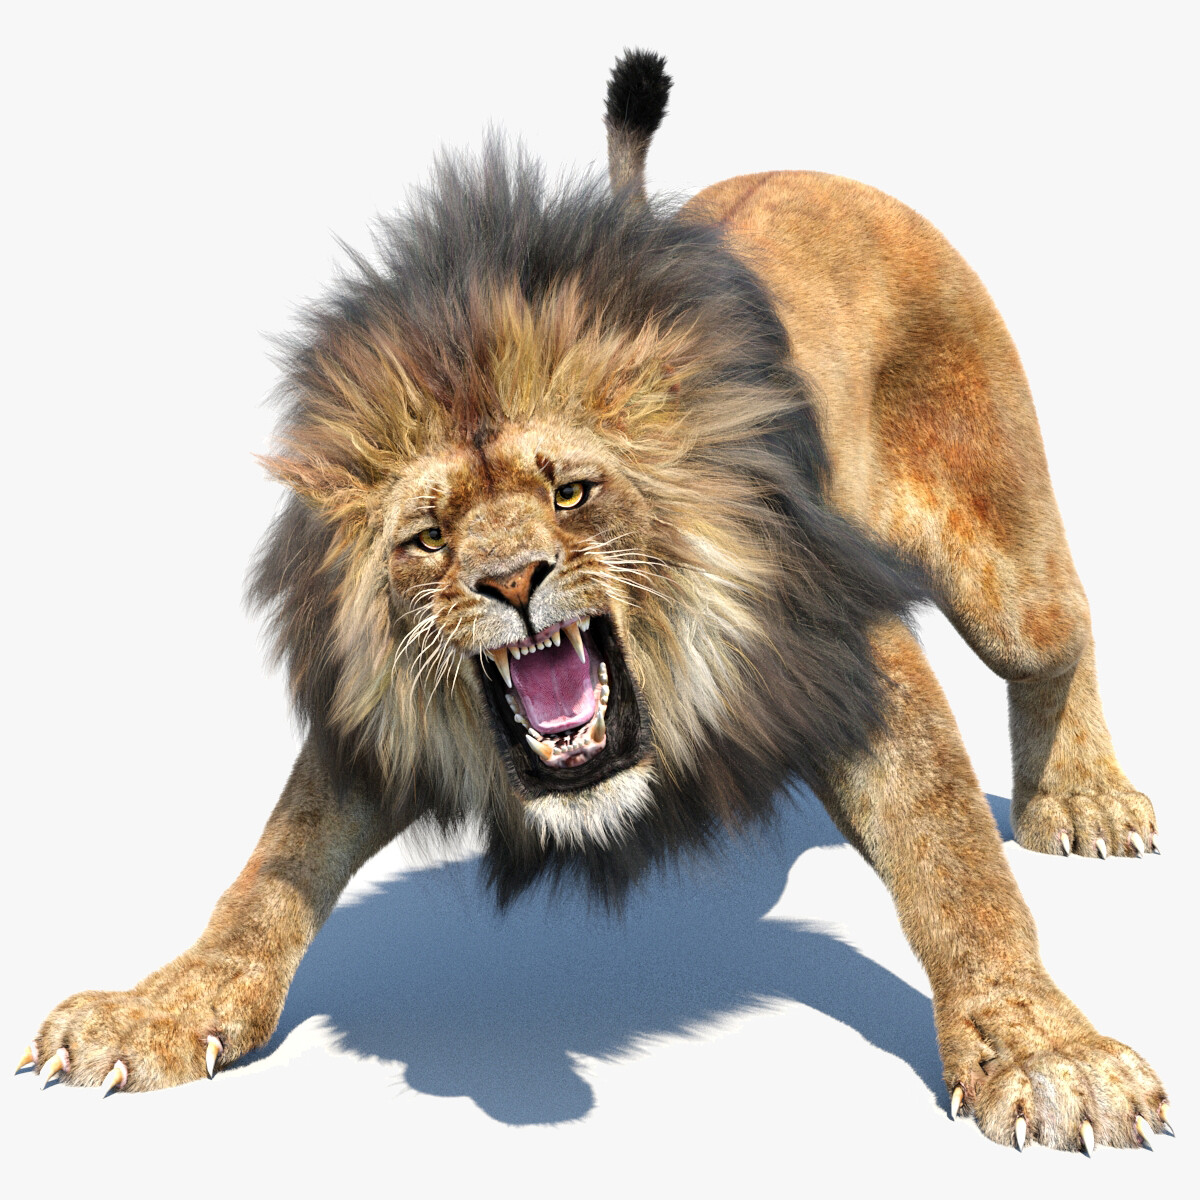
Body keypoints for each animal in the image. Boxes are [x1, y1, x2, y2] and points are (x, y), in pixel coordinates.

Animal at [19, 50, 1168, 1153]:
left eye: (571, 492)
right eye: (430, 538)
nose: (511, 581)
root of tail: (811, 172)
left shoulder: (844, 647)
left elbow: (955, 867)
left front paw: (1044, 1054)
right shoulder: (375, 722)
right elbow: (272, 869)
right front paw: (158, 1009)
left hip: (1002, 560)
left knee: (1063, 629)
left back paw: (1084, 803)